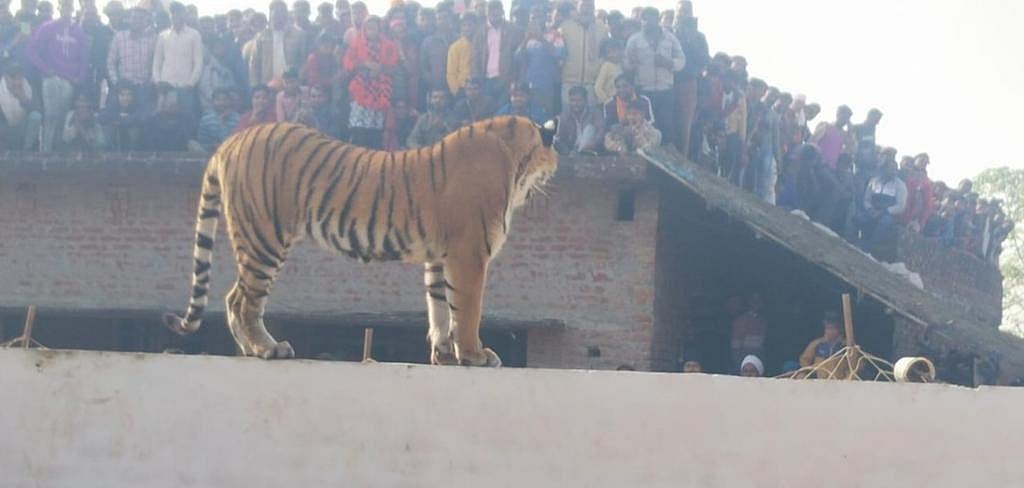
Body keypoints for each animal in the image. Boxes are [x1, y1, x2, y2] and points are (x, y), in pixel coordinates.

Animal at [162, 115, 558, 366]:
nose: (555, 169)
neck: (512, 159)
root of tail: (231, 141)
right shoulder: (469, 254)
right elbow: (468, 310)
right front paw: (475, 355)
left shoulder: (439, 257)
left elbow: (440, 308)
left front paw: (445, 354)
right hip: (264, 239)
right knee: (243, 301)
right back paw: (267, 349)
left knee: (233, 298)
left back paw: (251, 349)